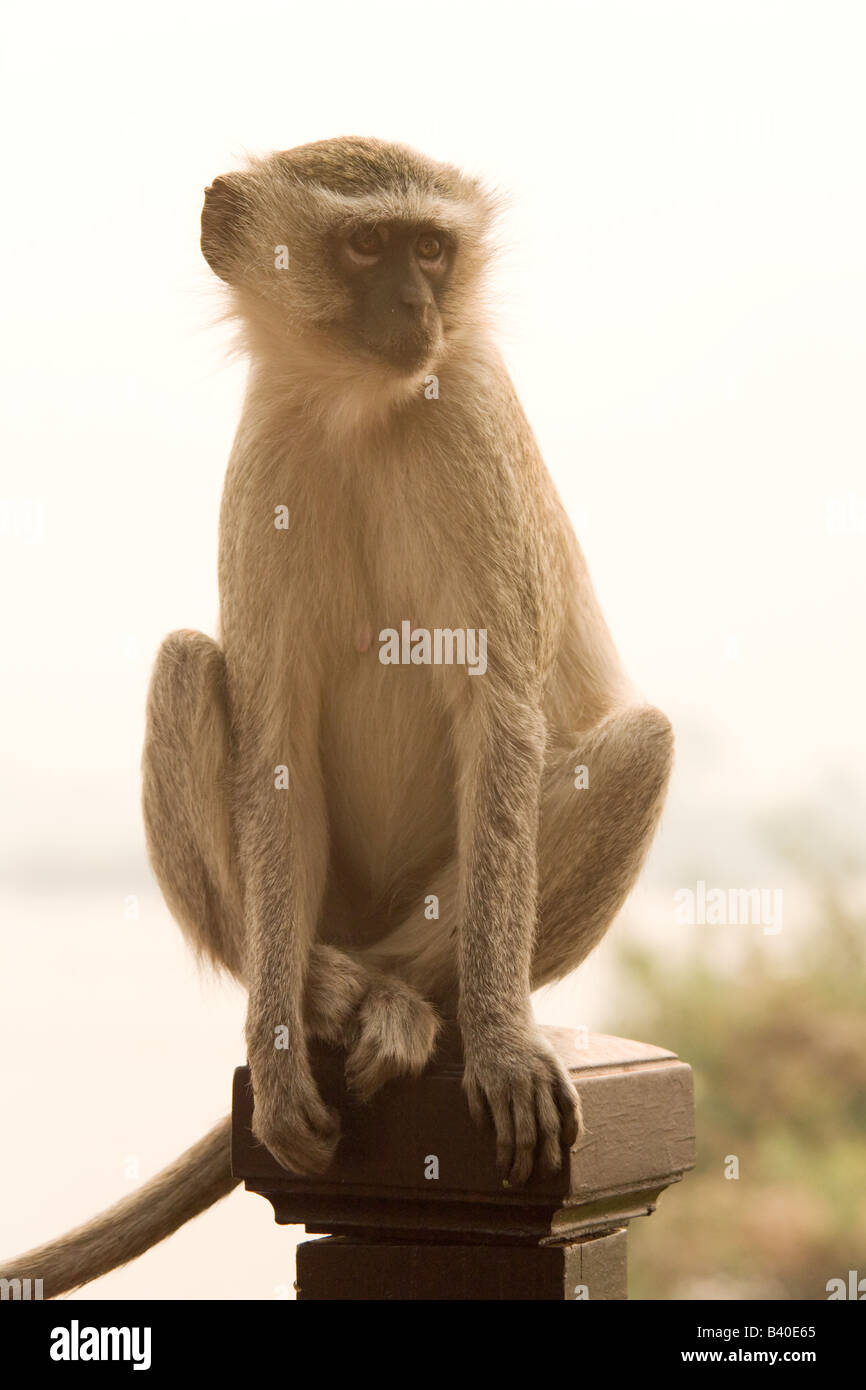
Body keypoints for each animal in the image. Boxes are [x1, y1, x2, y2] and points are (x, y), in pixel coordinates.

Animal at [0, 137, 673, 1298]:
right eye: (366, 244)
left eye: (431, 248)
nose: (416, 304)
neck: (364, 409)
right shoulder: (266, 448)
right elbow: (273, 742)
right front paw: (276, 1051)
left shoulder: (471, 413)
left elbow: (502, 717)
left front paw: (499, 1041)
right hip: (330, 905)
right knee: (186, 668)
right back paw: (320, 993)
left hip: (423, 912)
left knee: (638, 745)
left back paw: (411, 1004)